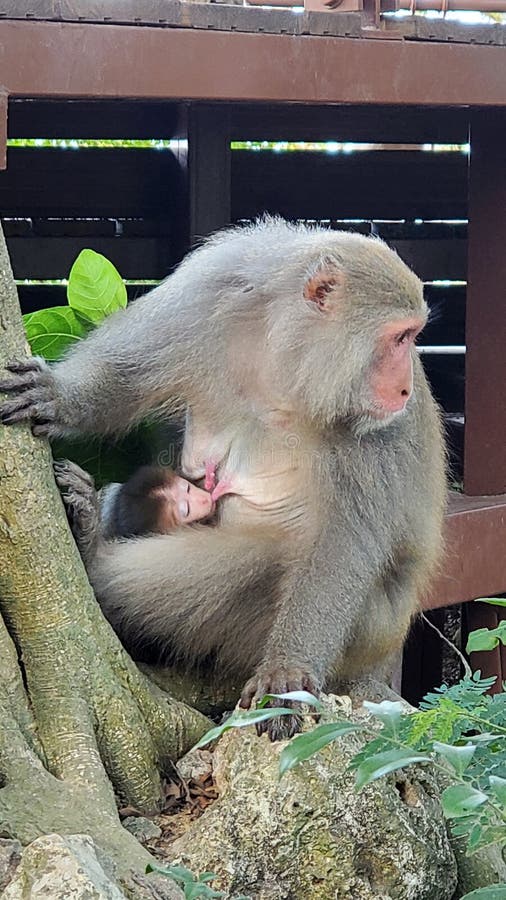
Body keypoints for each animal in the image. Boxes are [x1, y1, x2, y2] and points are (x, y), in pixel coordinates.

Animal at [0, 218, 446, 740]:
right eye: (400, 337)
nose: (406, 389)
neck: (289, 362)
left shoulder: (379, 429)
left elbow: (340, 547)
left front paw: (287, 671)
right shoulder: (211, 289)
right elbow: (127, 376)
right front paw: (59, 397)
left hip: (362, 632)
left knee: (262, 558)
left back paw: (92, 556)